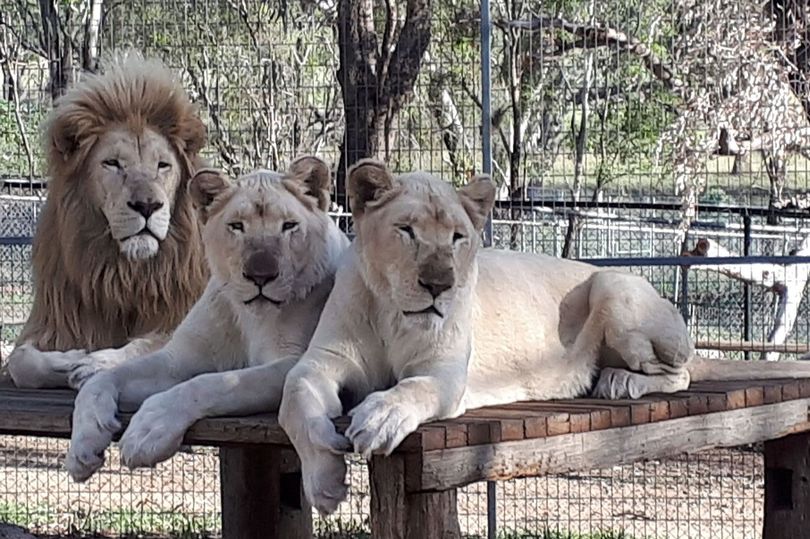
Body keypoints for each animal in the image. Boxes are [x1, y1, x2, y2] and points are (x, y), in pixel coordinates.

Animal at [6, 53, 209, 390]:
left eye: (162, 165)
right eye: (112, 163)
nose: (147, 205)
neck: (123, 274)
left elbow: (150, 343)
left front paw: (96, 362)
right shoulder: (53, 321)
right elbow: (20, 360)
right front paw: (71, 358)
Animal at [65, 157, 350, 482]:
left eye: (289, 225)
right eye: (236, 226)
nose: (260, 276)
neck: (249, 317)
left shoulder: (293, 362)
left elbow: (211, 383)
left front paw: (148, 429)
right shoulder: (179, 359)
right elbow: (104, 381)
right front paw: (83, 444)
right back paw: (87, 365)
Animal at [278, 160, 810, 514]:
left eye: (457, 238)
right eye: (406, 230)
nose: (439, 284)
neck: (394, 314)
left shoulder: (445, 374)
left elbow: (412, 388)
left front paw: (379, 418)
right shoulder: (321, 360)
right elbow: (293, 399)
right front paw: (324, 482)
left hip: (614, 285)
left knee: (678, 374)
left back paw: (619, 381)